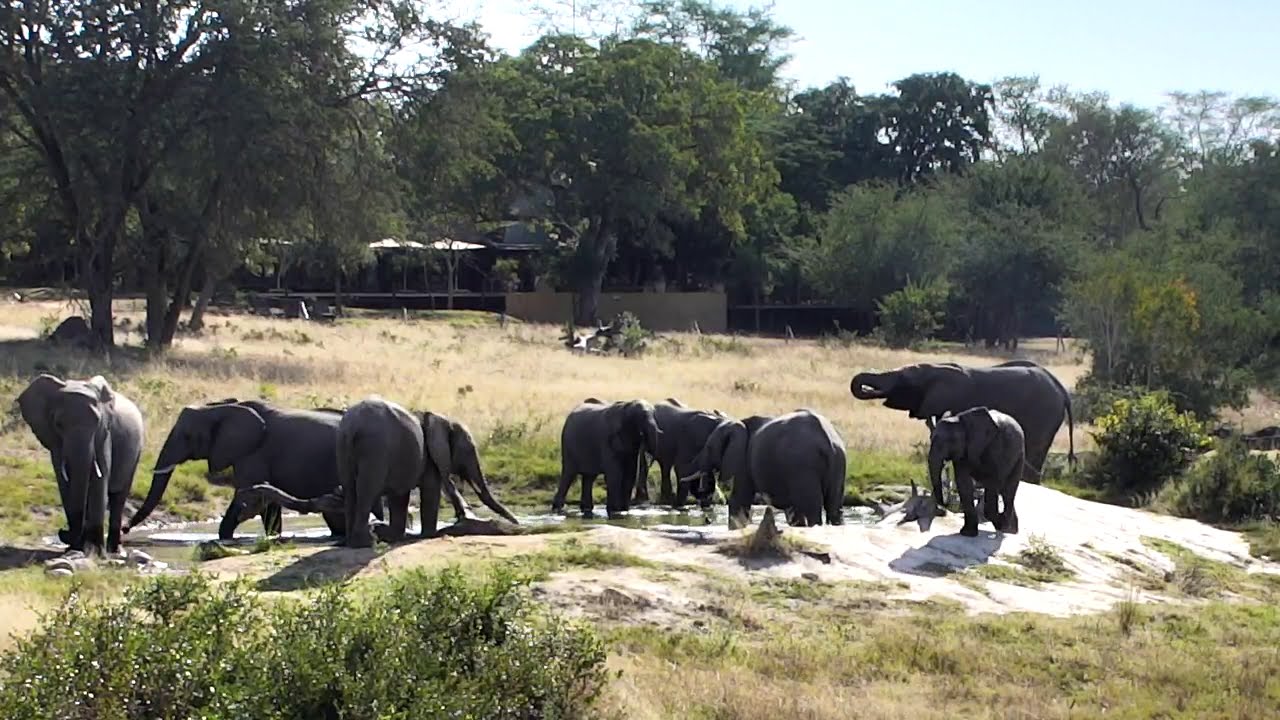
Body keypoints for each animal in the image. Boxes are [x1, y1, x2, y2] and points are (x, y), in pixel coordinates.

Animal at [17, 374, 144, 556]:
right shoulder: (55, 442)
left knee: (118, 497)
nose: (63, 532)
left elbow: (100, 479)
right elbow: (64, 482)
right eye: (58, 424)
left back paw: (114, 551)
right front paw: (76, 549)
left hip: (137, 450)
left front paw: (97, 553)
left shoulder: (105, 434)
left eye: (97, 422)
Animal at [125, 399, 379, 540]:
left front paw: (225, 537)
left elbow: (247, 494)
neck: (222, 408)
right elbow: (268, 502)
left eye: (187, 435)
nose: (125, 529)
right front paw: (274, 537)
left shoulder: (252, 453)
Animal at [338, 396, 441, 548]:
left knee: (350, 488)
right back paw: (365, 542)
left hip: (343, 445)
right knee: (366, 490)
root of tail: (352, 426)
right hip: (374, 446)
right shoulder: (428, 457)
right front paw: (427, 535)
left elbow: (400, 495)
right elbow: (430, 489)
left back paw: (351, 542)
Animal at [681, 410, 846, 528]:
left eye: (709, 448)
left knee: (813, 511)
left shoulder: (743, 461)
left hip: (804, 466)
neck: (737, 422)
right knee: (834, 508)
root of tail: (827, 442)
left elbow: (739, 500)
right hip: (838, 463)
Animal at [904, 406, 1025, 537]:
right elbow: (964, 483)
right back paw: (1010, 530)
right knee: (1005, 491)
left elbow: (993, 481)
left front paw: (998, 523)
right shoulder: (962, 453)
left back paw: (1005, 528)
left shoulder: (997, 447)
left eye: (951, 441)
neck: (959, 420)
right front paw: (968, 533)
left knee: (1008, 490)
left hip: (1019, 456)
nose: (945, 506)